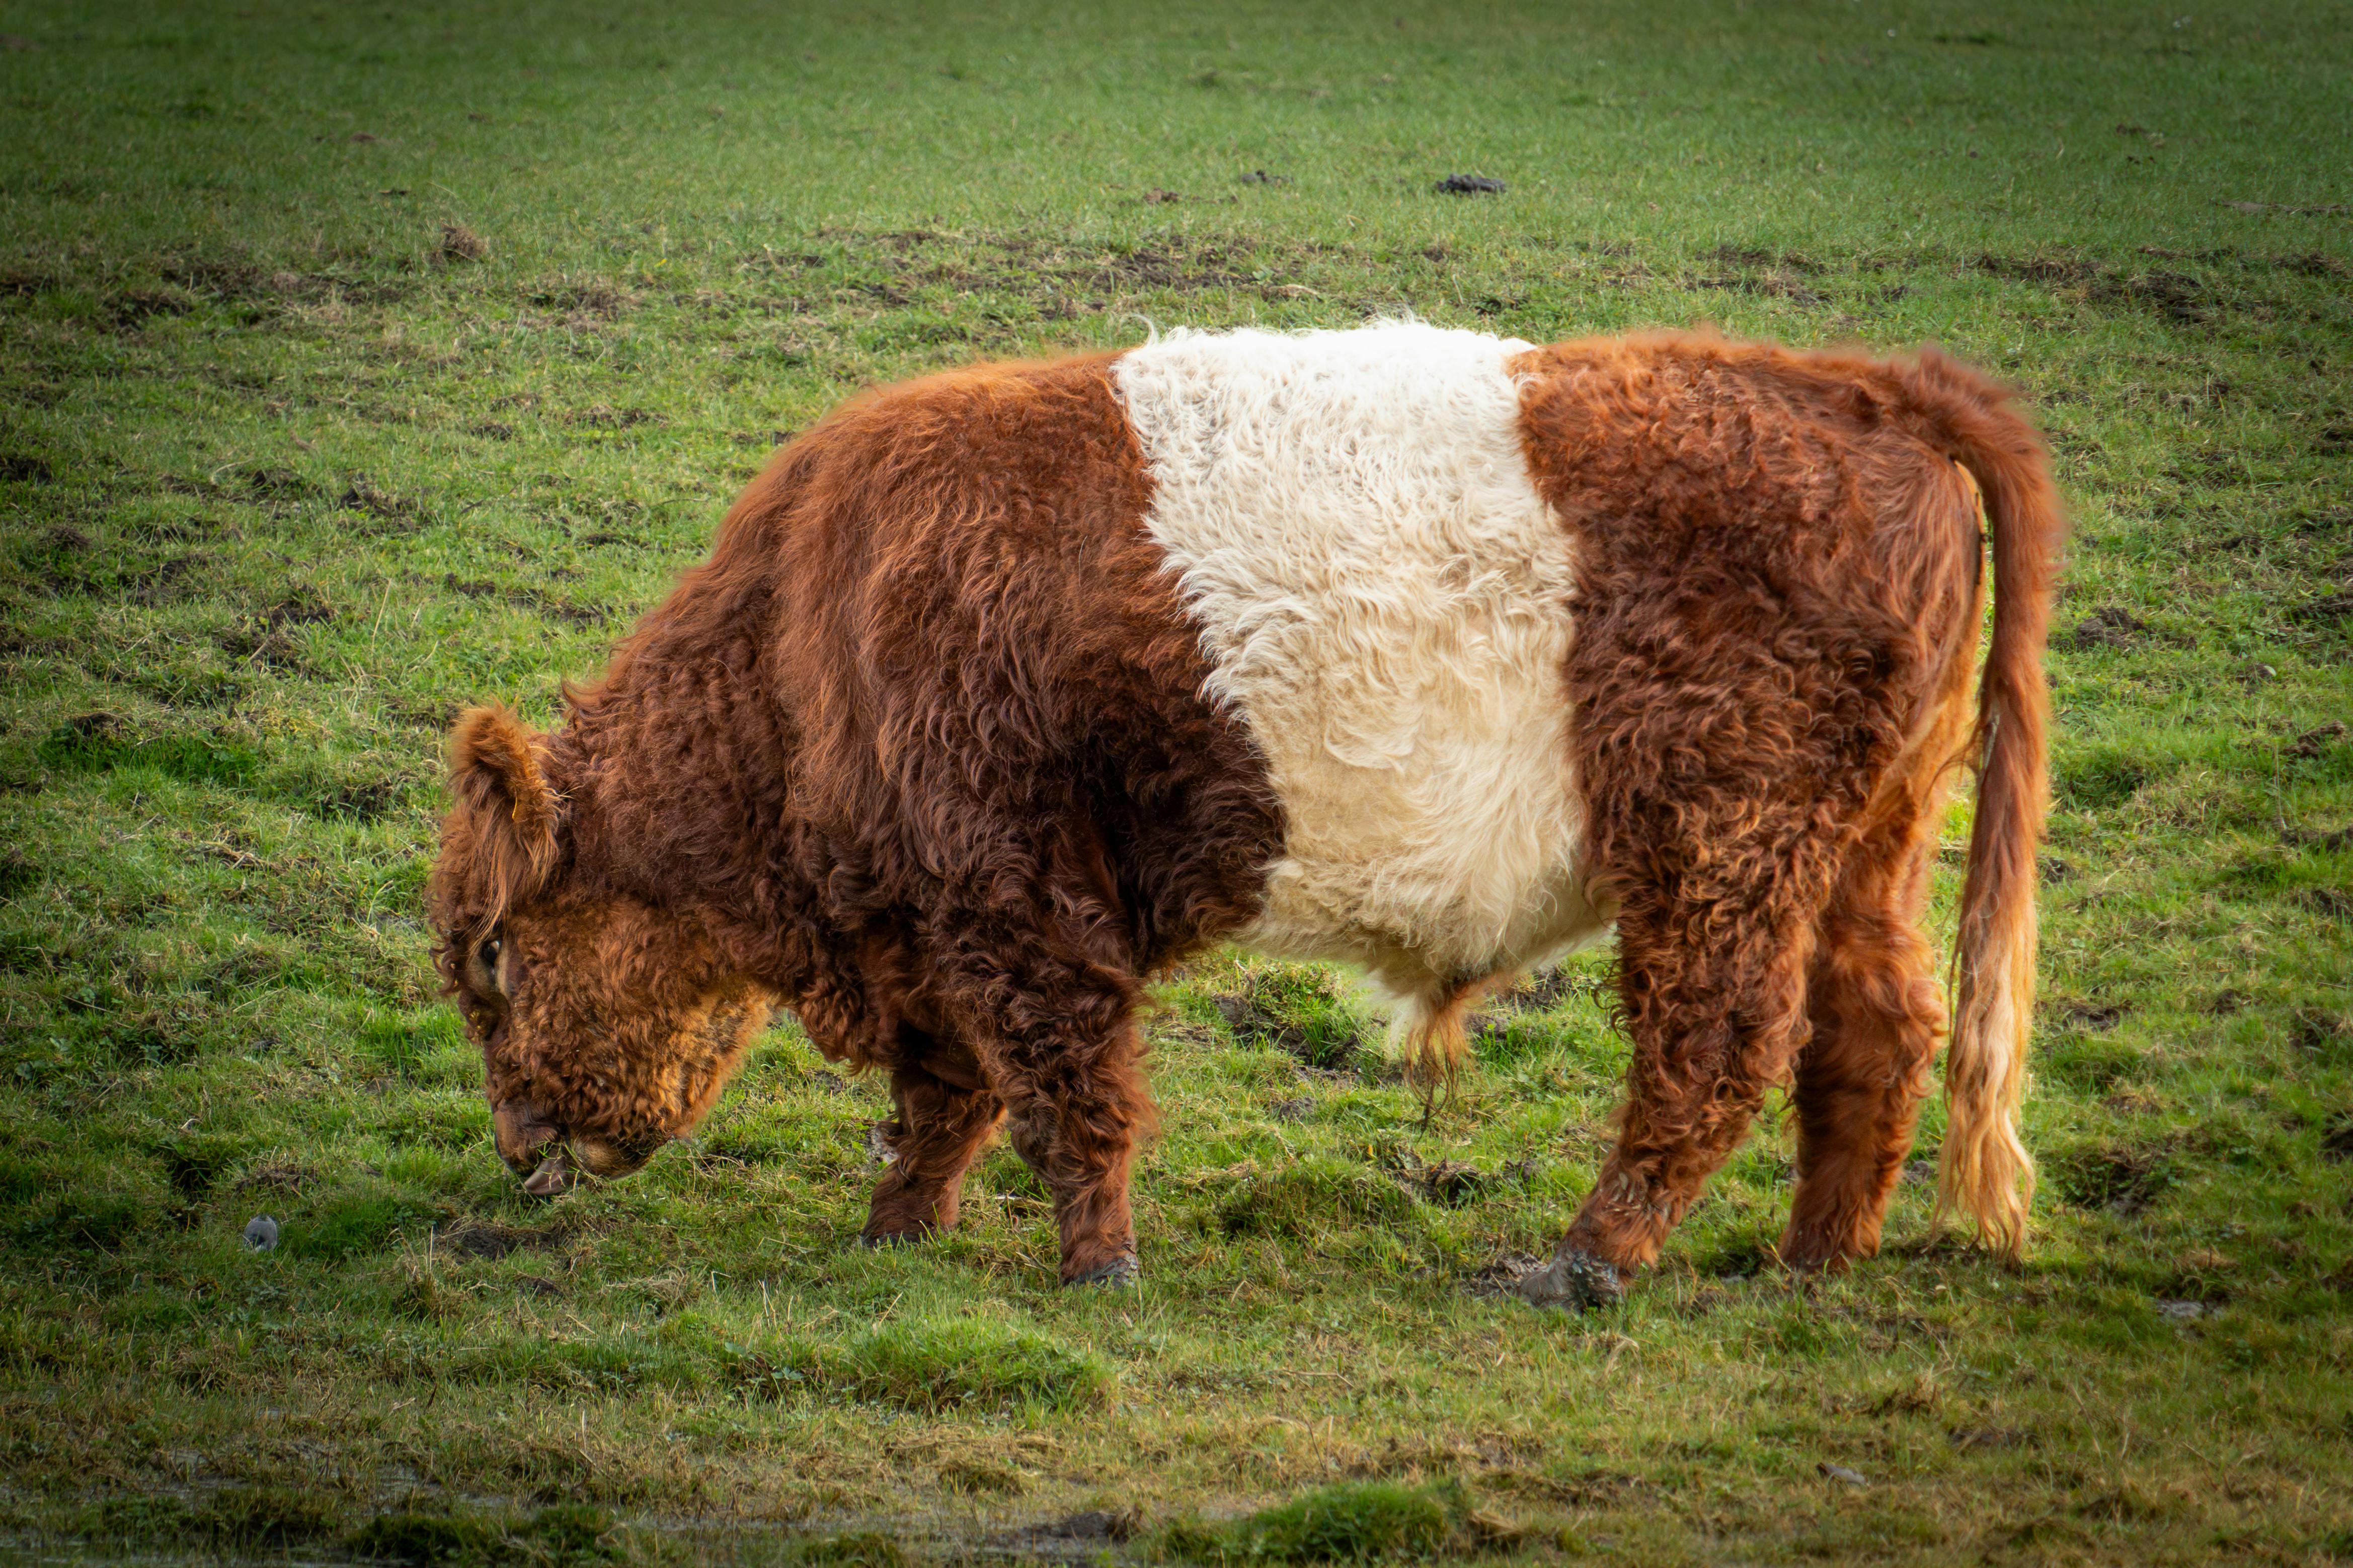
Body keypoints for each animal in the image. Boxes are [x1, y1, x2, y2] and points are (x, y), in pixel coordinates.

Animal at [427, 322, 2060, 1305]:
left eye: (493, 955)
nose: (516, 1147)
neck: (807, 631)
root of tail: (1857, 385)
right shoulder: (936, 910)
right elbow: (947, 1089)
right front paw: (897, 1227)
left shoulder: (1014, 891)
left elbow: (1059, 1081)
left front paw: (1094, 1263)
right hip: (1860, 846)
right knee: (1876, 1030)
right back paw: (1810, 1263)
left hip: (1721, 845)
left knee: (1716, 1046)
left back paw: (1589, 1259)